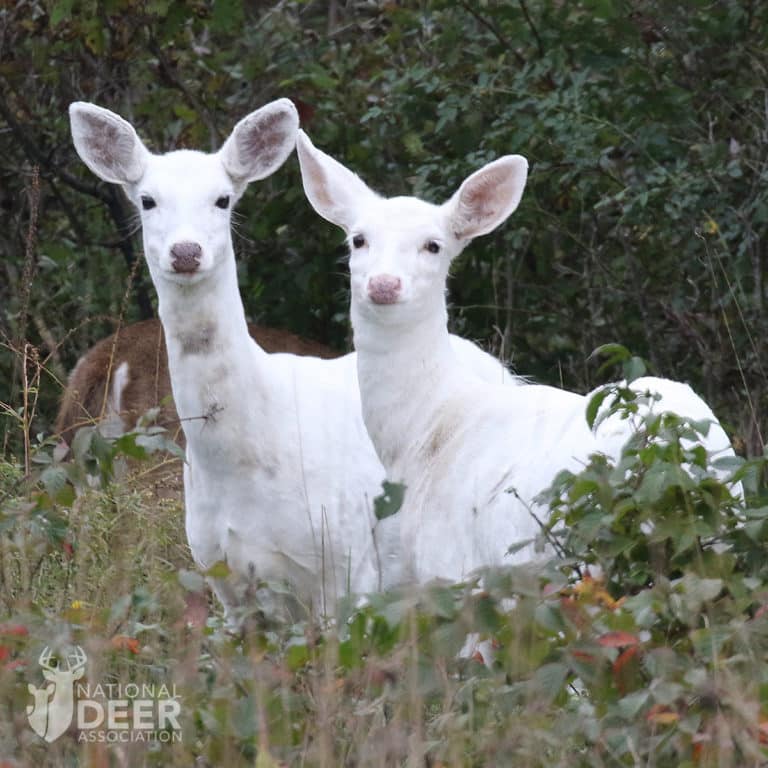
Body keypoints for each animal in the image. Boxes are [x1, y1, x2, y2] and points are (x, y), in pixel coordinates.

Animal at [296, 130, 741, 585]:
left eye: (433, 245)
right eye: (358, 239)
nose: (384, 284)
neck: (425, 429)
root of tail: (673, 461)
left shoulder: (455, 566)